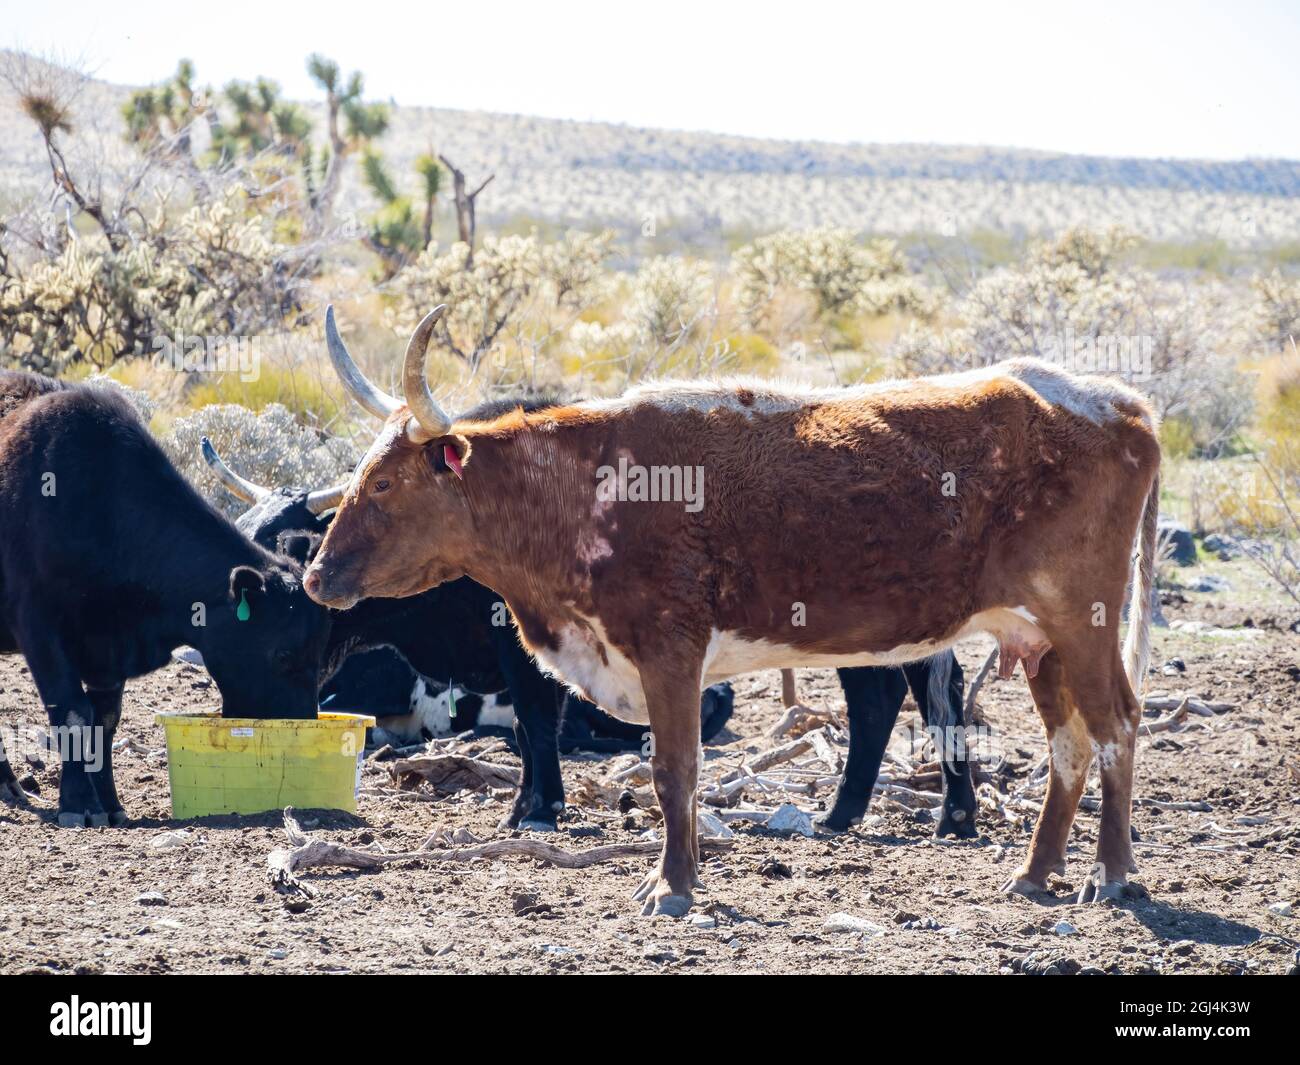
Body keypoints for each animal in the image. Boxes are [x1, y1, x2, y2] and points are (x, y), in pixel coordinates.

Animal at [0, 371, 331, 827]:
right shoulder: (39, 625)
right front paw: (79, 805)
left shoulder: (108, 651)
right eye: (282, 654)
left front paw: (111, 804)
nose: (298, 728)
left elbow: (105, 722)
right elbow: (73, 712)